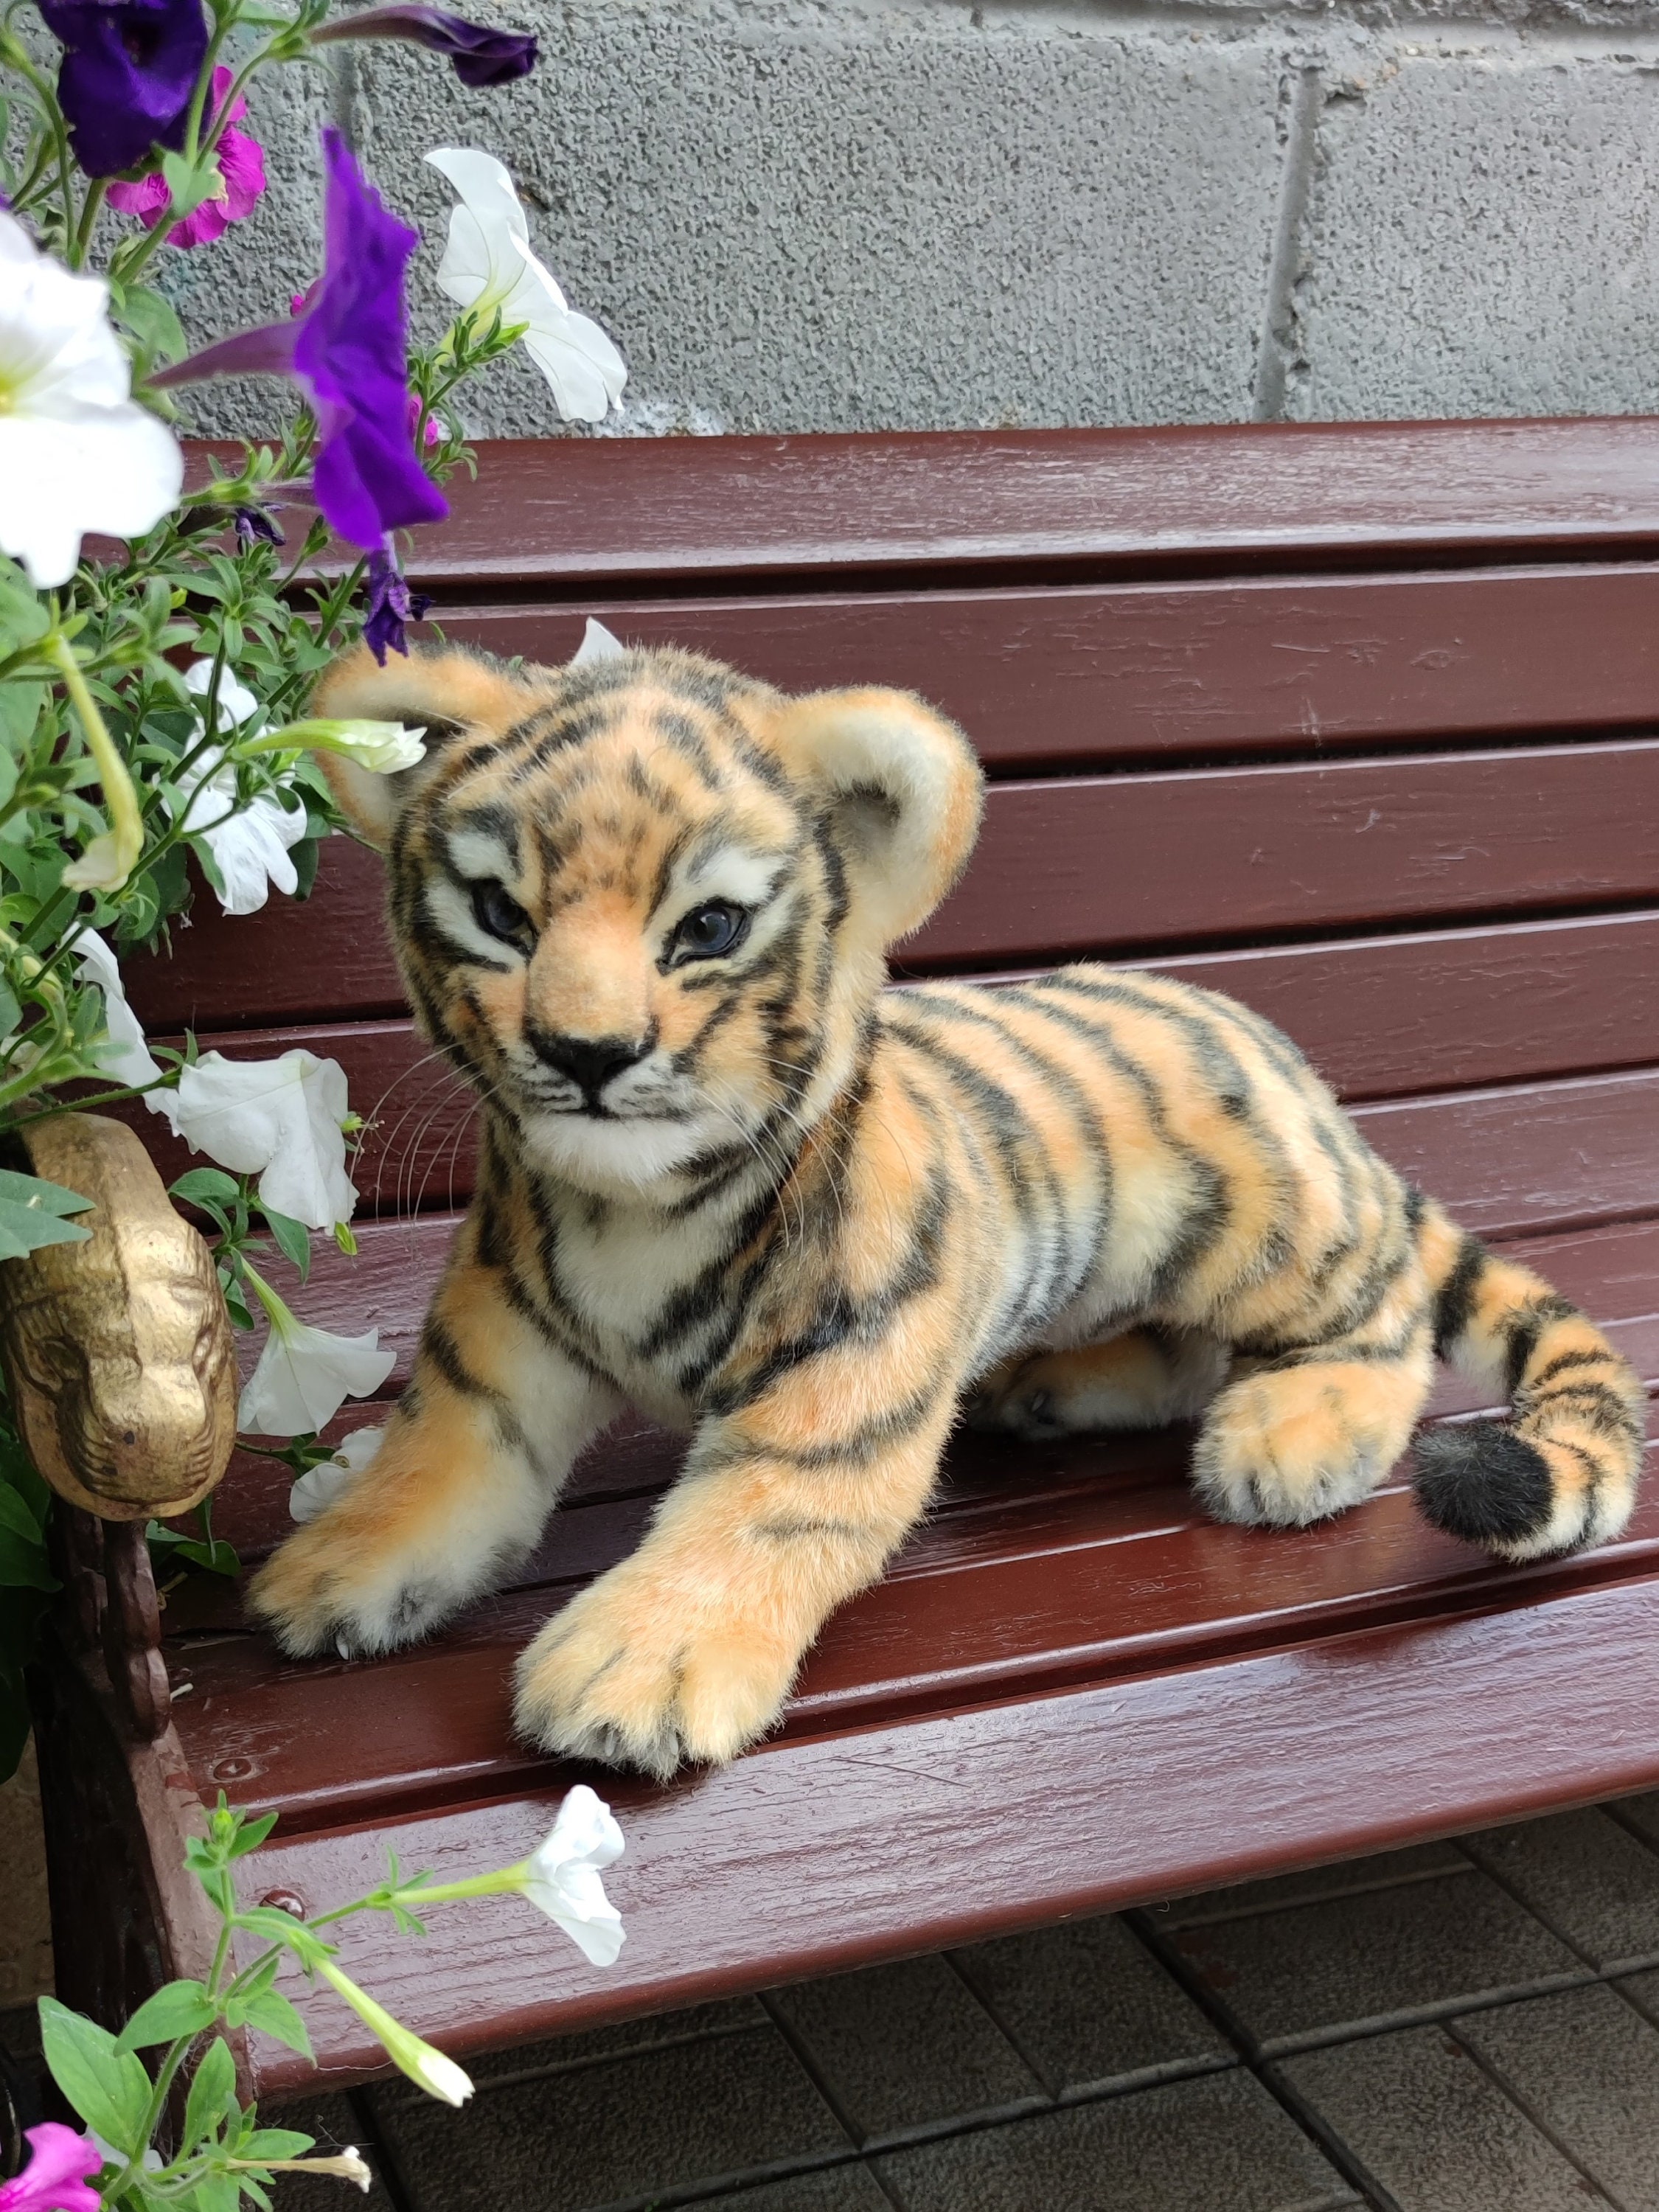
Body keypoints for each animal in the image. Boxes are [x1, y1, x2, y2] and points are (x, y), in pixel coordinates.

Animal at [249, 639, 1649, 1780]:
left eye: (708, 928)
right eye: (500, 912)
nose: (586, 1053)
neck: (632, 1207)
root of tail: (1302, 1079)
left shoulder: (843, 1374)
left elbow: (758, 1507)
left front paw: (631, 1671)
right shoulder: (493, 1343)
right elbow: (438, 1456)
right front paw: (336, 1565)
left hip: (1260, 1234)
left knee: (1385, 1316)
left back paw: (1294, 1437)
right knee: (1191, 1356)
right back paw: (1050, 1388)